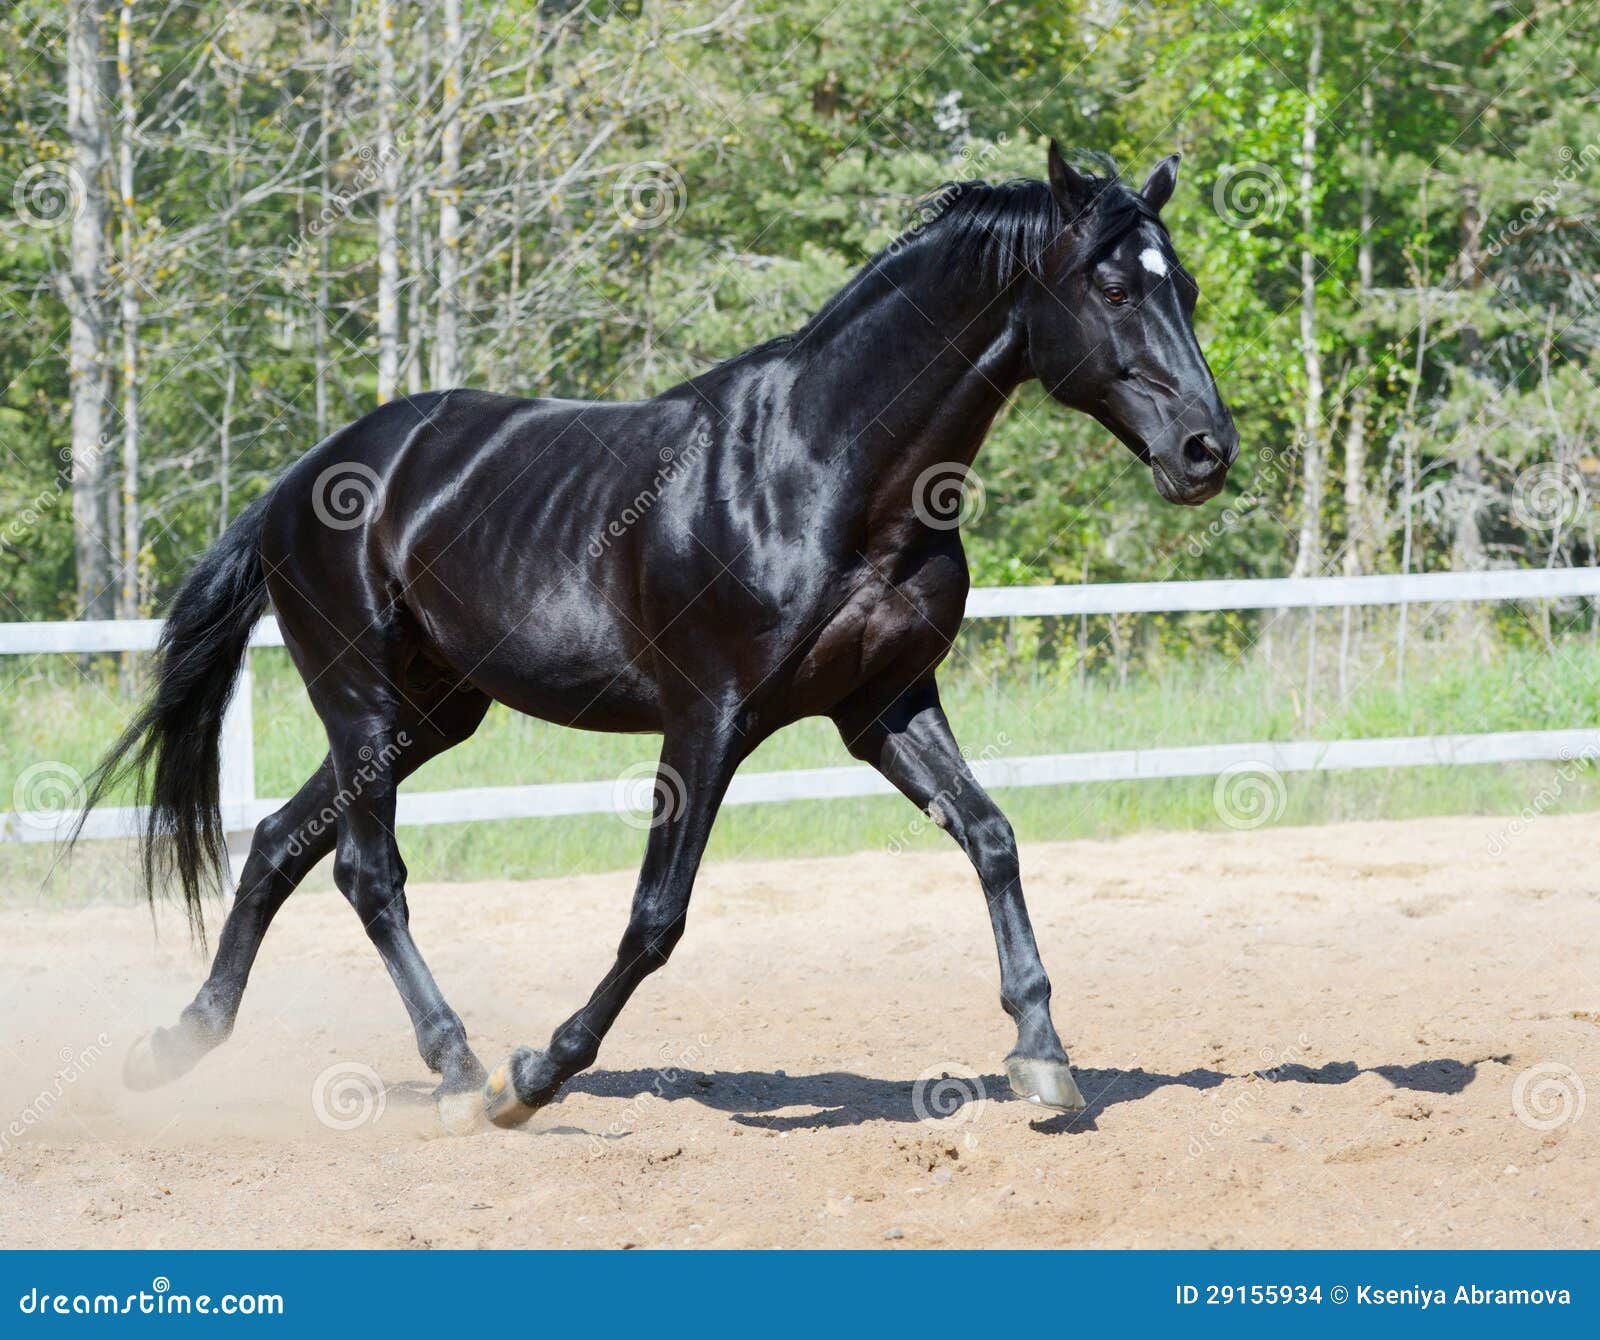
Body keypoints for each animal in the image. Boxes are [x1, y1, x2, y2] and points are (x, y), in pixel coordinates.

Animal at [80, 142, 1237, 1130]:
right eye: (1114, 288)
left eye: (1181, 285)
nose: (1206, 450)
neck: (828, 473)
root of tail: (299, 479)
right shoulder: (710, 718)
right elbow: (657, 914)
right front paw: (537, 1073)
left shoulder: (884, 704)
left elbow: (993, 836)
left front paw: (1042, 1054)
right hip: (360, 698)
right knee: (368, 874)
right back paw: (459, 1069)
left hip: (431, 711)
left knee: (279, 842)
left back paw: (176, 1045)